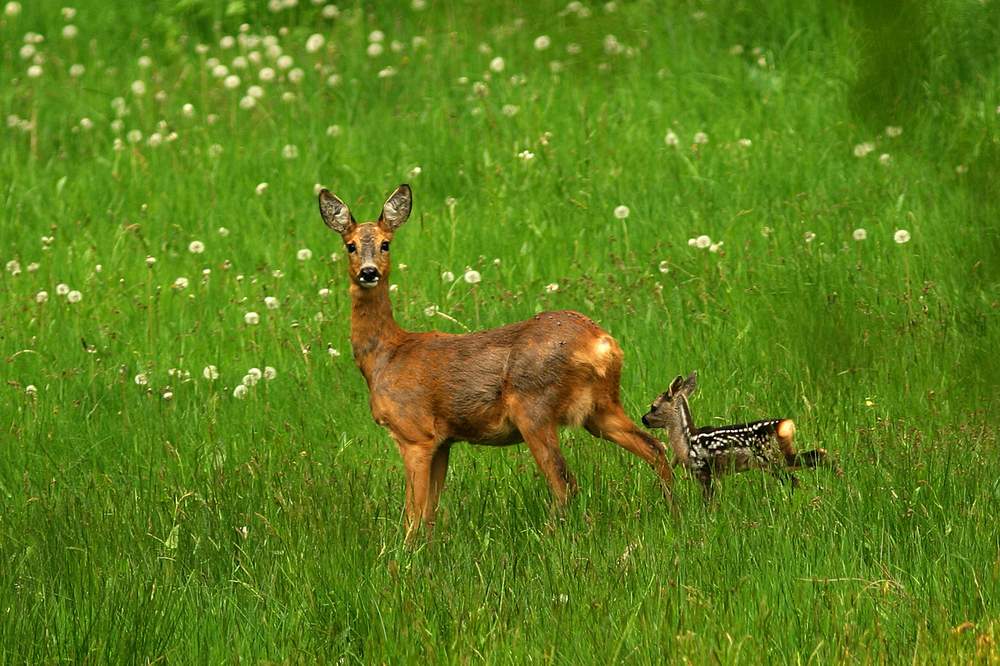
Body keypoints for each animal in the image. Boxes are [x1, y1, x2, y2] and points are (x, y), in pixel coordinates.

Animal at [318, 183, 675, 539]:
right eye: (350, 245)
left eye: (385, 244)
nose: (369, 272)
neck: (385, 356)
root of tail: (603, 344)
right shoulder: (444, 441)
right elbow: (430, 512)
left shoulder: (415, 433)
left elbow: (414, 513)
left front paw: (404, 551)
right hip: (601, 407)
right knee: (655, 447)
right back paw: (676, 509)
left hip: (534, 408)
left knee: (565, 483)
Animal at [641, 372, 838, 501]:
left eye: (653, 407)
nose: (643, 419)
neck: (686, 441)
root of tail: (785, 424)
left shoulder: (702, 469)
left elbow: (709, 502)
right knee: (816, 456)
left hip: (770, 458)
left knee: (798, 476)